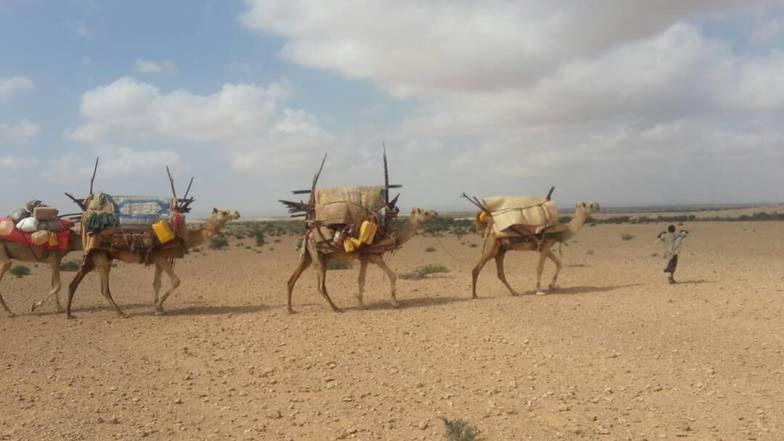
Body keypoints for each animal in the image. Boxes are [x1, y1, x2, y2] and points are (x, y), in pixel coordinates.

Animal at [65, 208, 239, 318]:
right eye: (224, 212)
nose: (237, 213)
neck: (186, 237)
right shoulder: (161, 258)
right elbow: (176, 281)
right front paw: (158, 307)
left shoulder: (158, 259)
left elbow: (156, 283)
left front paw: (158, 307)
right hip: (102, 260)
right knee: (104, 289)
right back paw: (122, 313)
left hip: (93, 259)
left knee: (74, 282)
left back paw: (69, 313)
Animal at [284, 207, 438, 312]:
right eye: (425, 212)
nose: (435, 213)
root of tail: (308, 234)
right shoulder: (365, 256)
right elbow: (361, 279)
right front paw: (361, 304)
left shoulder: (376, 257)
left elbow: (392, 275)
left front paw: (395, 303)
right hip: (319, 256)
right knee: (321, 285)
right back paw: (336, 308)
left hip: (310, 256)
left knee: (292, 279)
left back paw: (290, 309)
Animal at [472, 201, 600, 298]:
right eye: (590, 205)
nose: (598, 205)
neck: (562, 230)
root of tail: (490, 228)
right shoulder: (546, 245)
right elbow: (540, 268)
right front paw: (539, 291)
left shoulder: (545, 247)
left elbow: (559, 263)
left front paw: (551, 286)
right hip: (492, 248)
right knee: (477, 269)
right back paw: (475, 295)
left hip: (500, 251)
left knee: (500, 273)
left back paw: (515, 292)